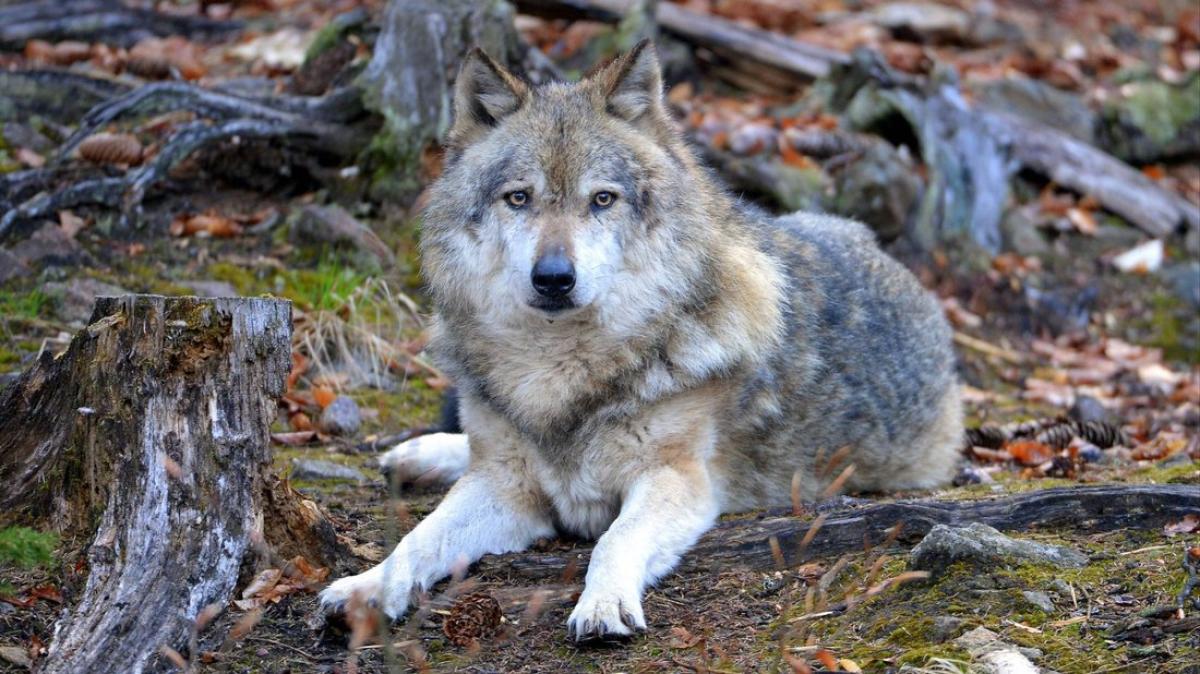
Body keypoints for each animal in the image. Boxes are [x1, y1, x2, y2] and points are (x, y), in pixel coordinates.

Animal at [319, 41, 962, 641]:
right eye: (519, 197)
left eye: (602, 199)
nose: (554, 278)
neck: (556, 371)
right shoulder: (506, 485)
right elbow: (417, 539)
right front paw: (368, 587)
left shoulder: (677, 478)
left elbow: (614, 539)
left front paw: (603, 605)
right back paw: (419, 454)